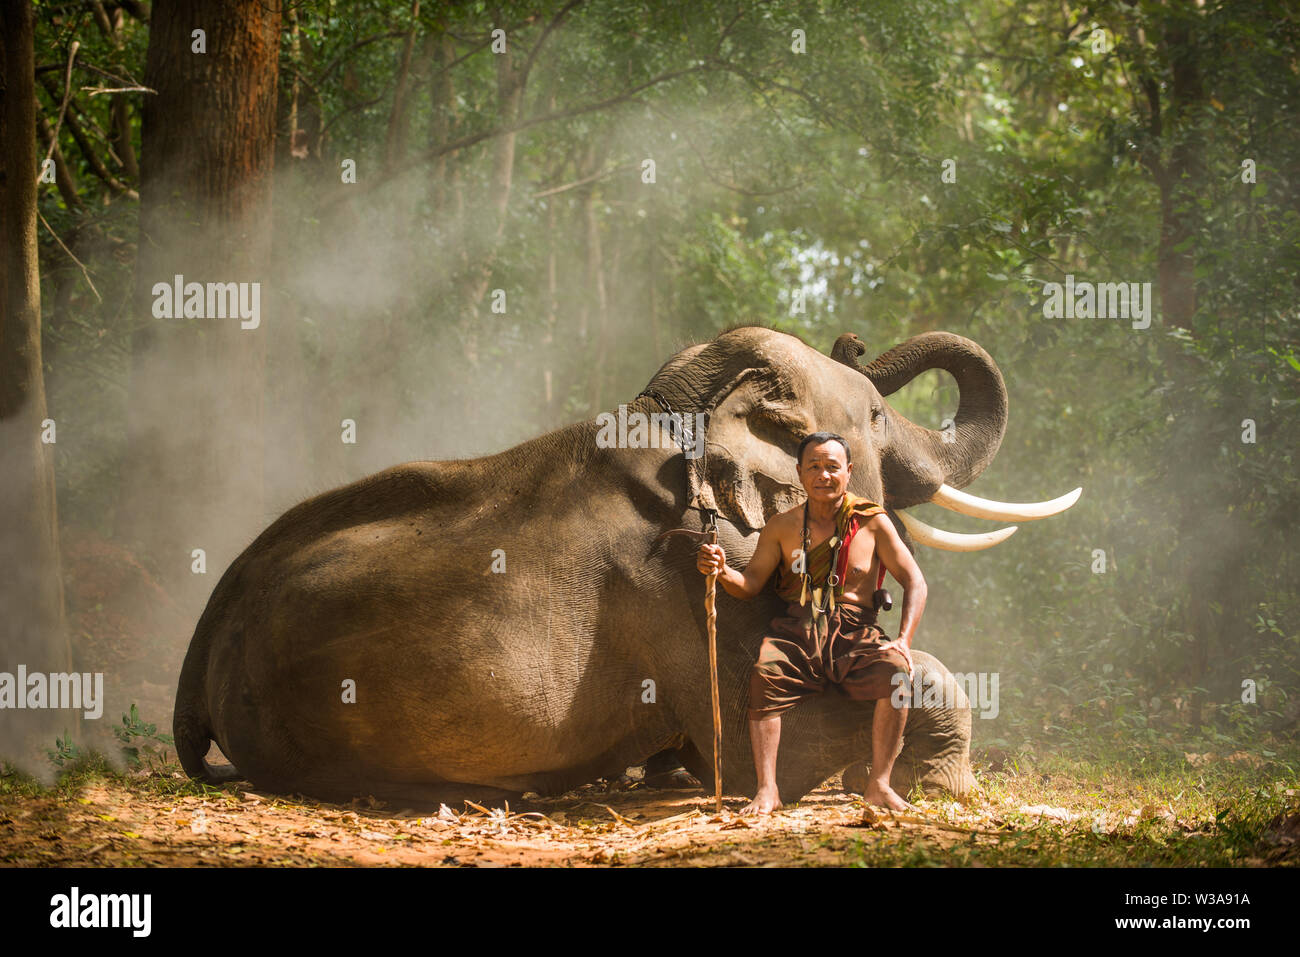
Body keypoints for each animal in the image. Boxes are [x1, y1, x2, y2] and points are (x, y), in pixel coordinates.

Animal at [173, 325, 1080, 806]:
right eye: (880, 416)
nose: (852, 339)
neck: (673, 408)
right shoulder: (672, 586)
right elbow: (765, 745)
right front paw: (945, 783)